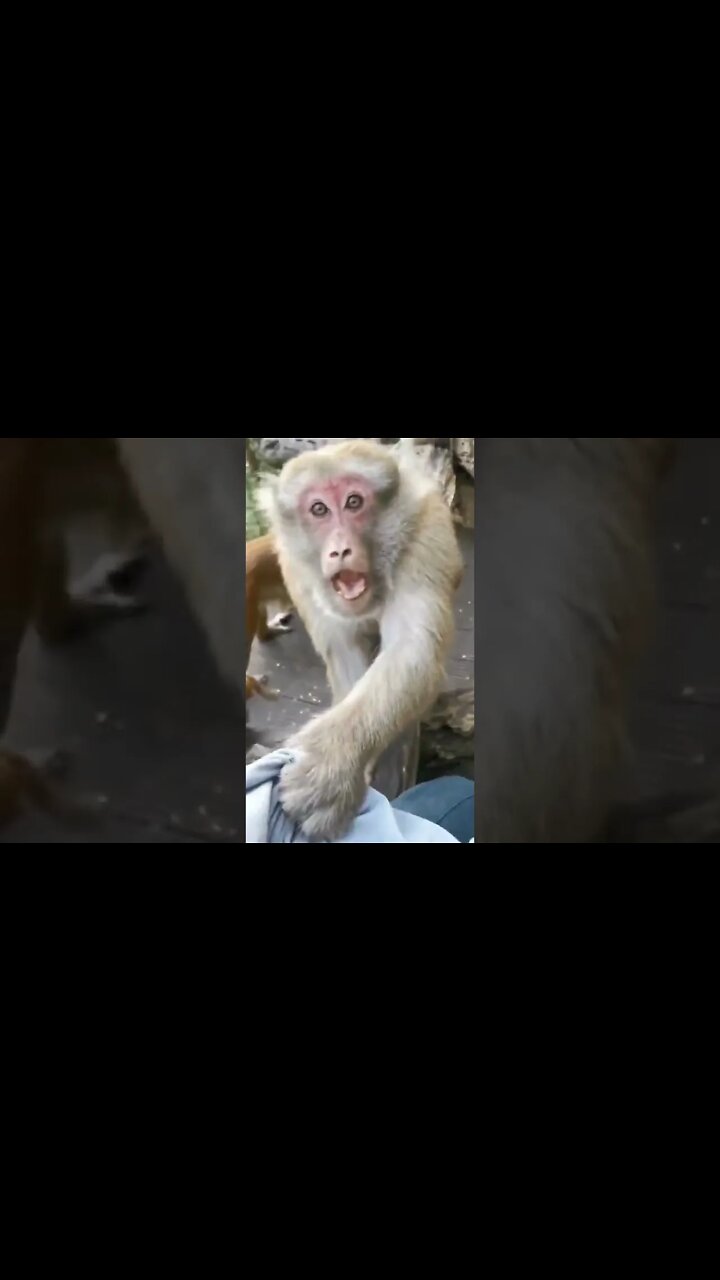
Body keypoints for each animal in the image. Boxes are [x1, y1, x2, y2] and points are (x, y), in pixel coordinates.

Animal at [258, 439, 464, 840]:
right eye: (319, 509)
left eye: (354, 502)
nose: (340, 550)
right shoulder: (297, 570)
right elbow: (344, 654)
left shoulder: (424, 540)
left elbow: (412, 650)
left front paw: (332, 765)